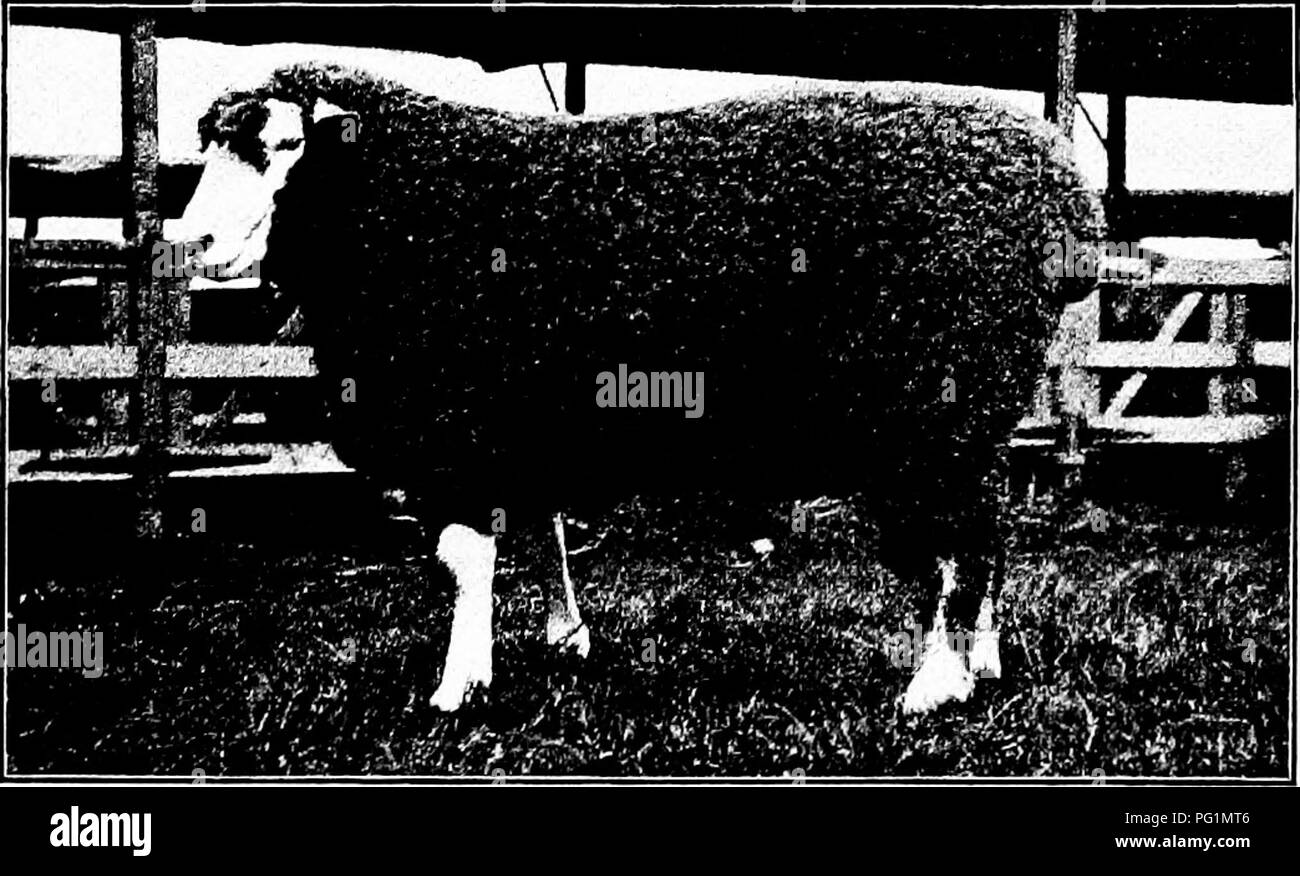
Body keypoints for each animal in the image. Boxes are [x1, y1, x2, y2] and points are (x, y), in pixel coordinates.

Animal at [176, 62, 1100, 715]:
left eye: (284, 147)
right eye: (212, 150)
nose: (196, 243)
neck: (408, 207)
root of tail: (1061, 188)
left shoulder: (462, 420)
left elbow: (467, 557)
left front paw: (459, 686)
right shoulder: (527, 415)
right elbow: (544, 528)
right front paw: (567, 638)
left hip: (931, 404)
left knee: (956, 540)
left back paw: (936, 682)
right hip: (971, 411)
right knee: (990, 526)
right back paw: (985, 659)